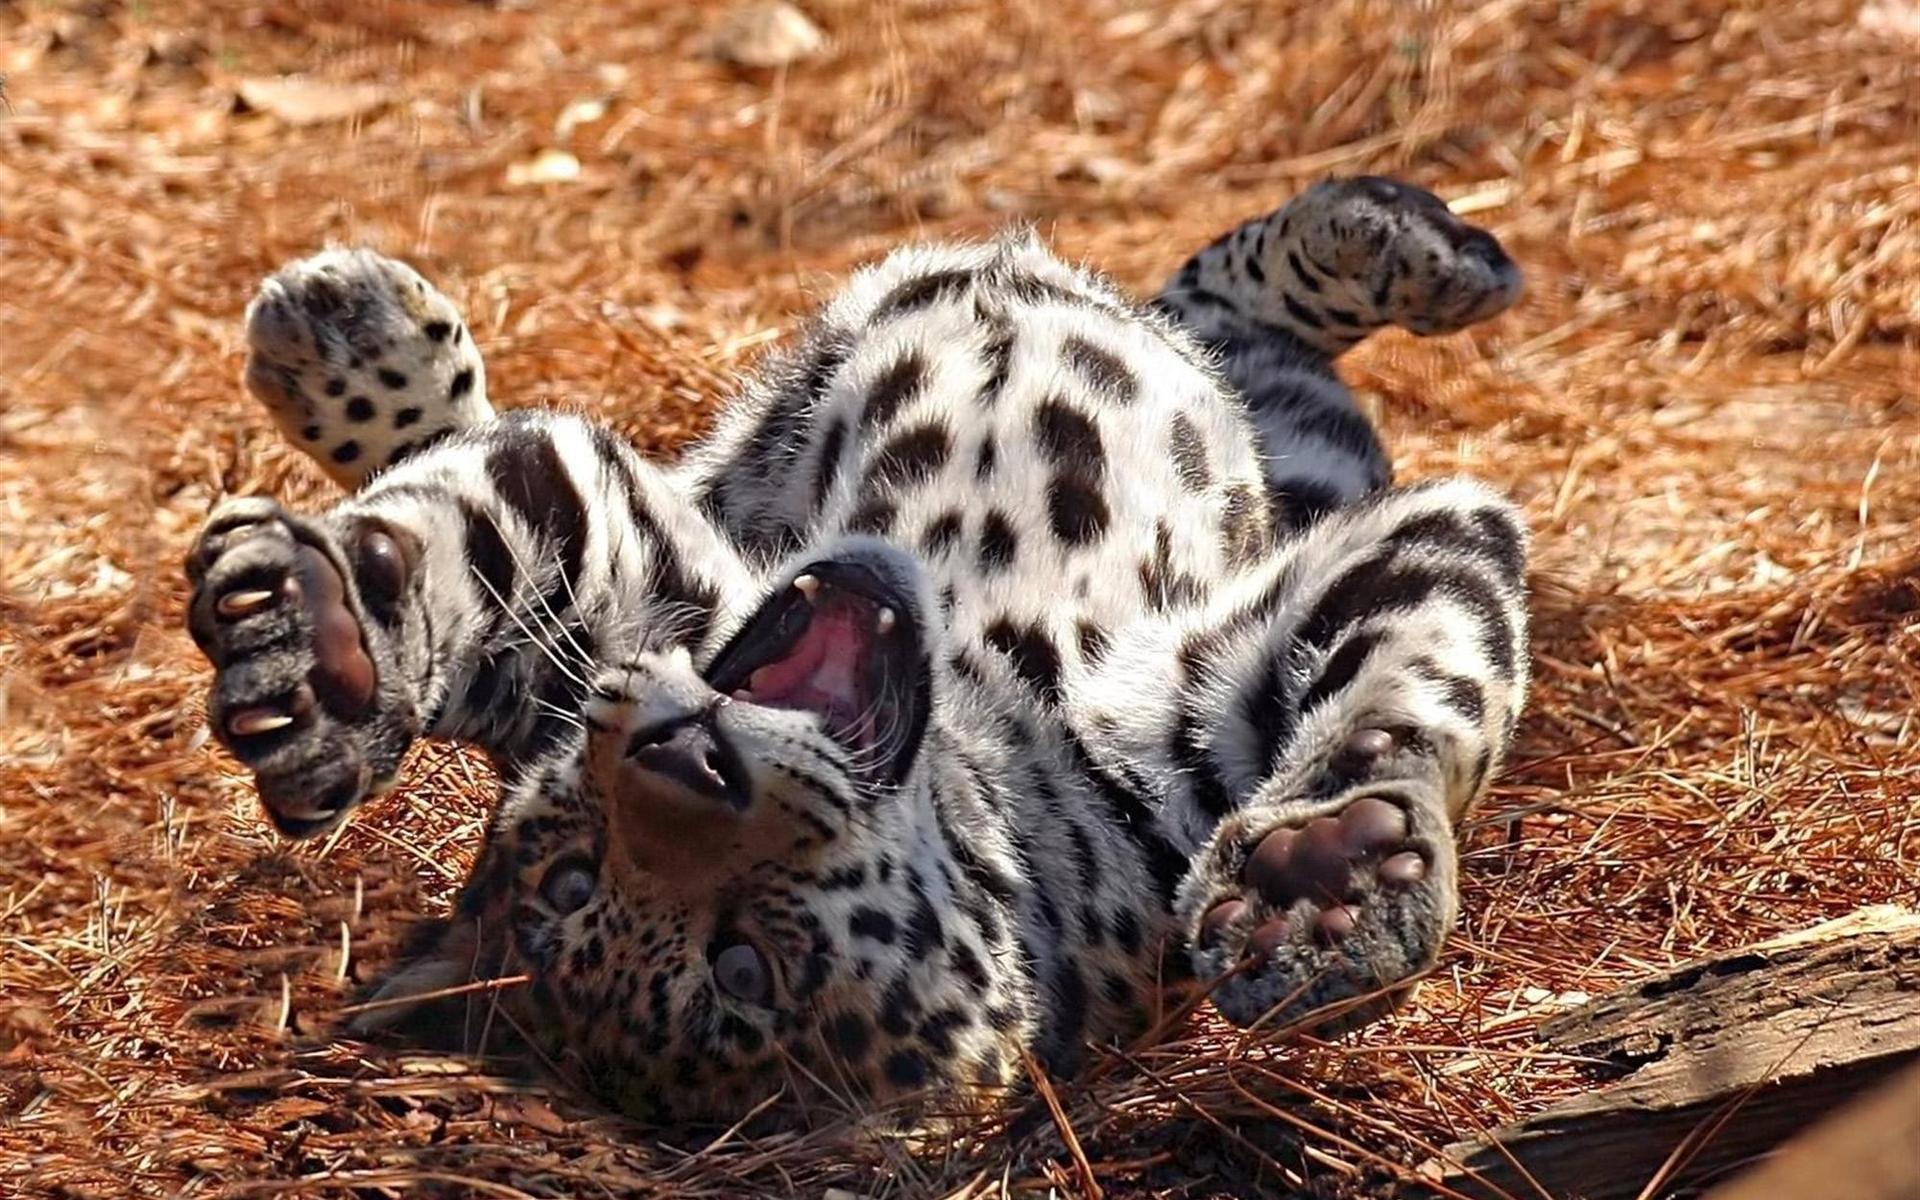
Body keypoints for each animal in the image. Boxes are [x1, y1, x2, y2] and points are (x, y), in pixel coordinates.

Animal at [183, 176, 1529, 1121]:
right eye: (577, 874)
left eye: (748, 963)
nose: (687, 761)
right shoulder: (617, 585)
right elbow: (484, 510)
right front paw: (329, 640)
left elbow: (1430, 686)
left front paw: (1331, 877)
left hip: (1286, 454)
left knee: (1220, 317)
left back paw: (1417, 244)